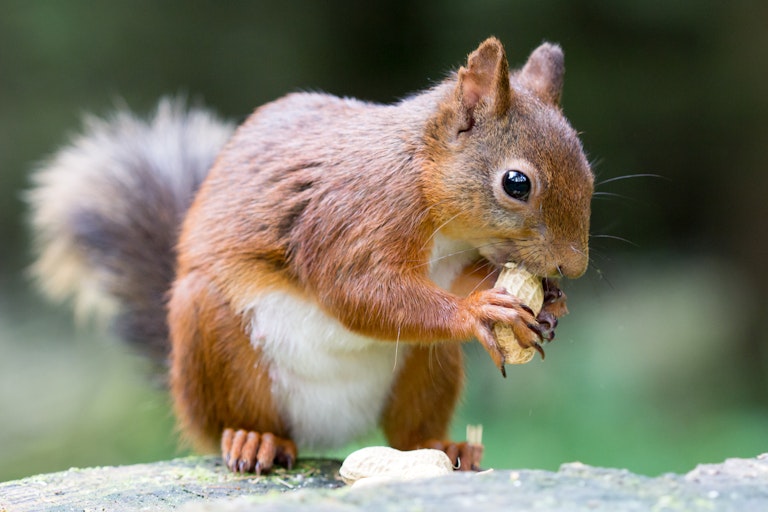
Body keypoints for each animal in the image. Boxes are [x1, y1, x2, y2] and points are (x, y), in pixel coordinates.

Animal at [27, 37, 593, 474]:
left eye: (587, 170)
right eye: (516, 183)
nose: (574, 267)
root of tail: (332, 429)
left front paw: (549, 303)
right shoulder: (352, 217)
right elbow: (357, 291)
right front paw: (479, 311)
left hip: (427, 365)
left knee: (410, 432)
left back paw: (446, 446)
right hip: (210, 333)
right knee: (240, 423)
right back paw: (254, 440)